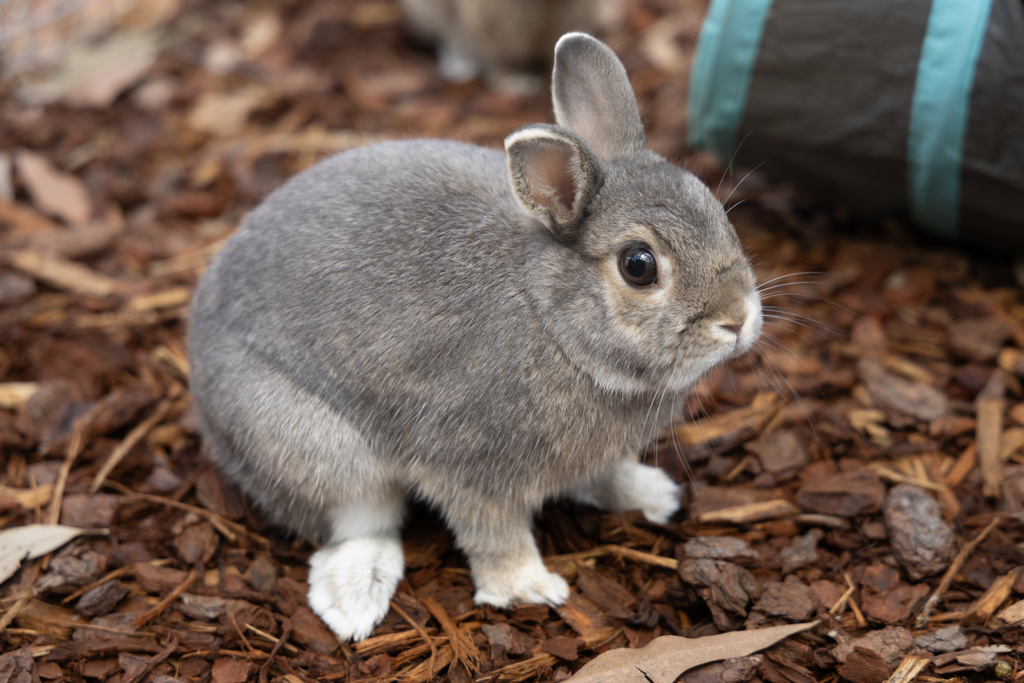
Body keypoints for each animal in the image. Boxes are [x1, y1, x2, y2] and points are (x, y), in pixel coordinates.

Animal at [187, 32, 763, 642]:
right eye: (638, 266)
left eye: (715, 208)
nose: (738, 319)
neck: (550, 317)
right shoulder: (472, 468)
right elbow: (494, 533)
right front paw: (528, 588)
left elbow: (605, 476)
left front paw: (650, 496)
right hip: (314, 447)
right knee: (359, 521)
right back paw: (355, 599)